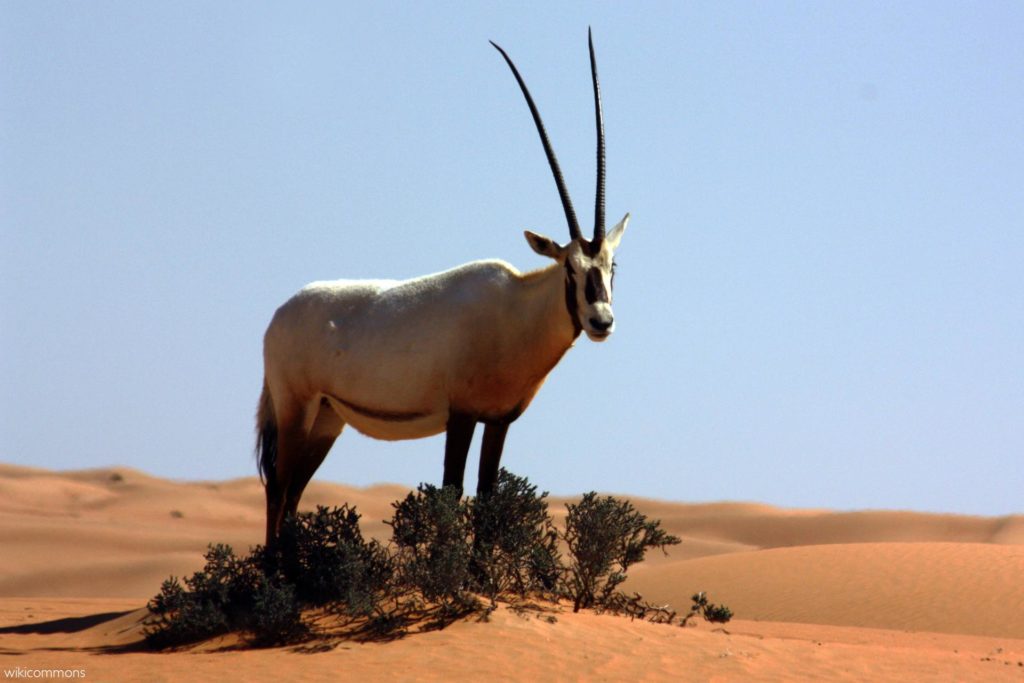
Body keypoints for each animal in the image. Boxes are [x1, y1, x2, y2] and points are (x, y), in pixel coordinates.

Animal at [257, 30, 630, 544]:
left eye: (614, 266)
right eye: (570, 269)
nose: (601, 321)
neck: (515, 312)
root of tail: (278, 315)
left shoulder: (498, 420)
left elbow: (489, 499)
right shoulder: (461, 414)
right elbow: (452, 495)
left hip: (328, 418)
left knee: (293, 493)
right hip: (297, 408)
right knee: (278, 488)